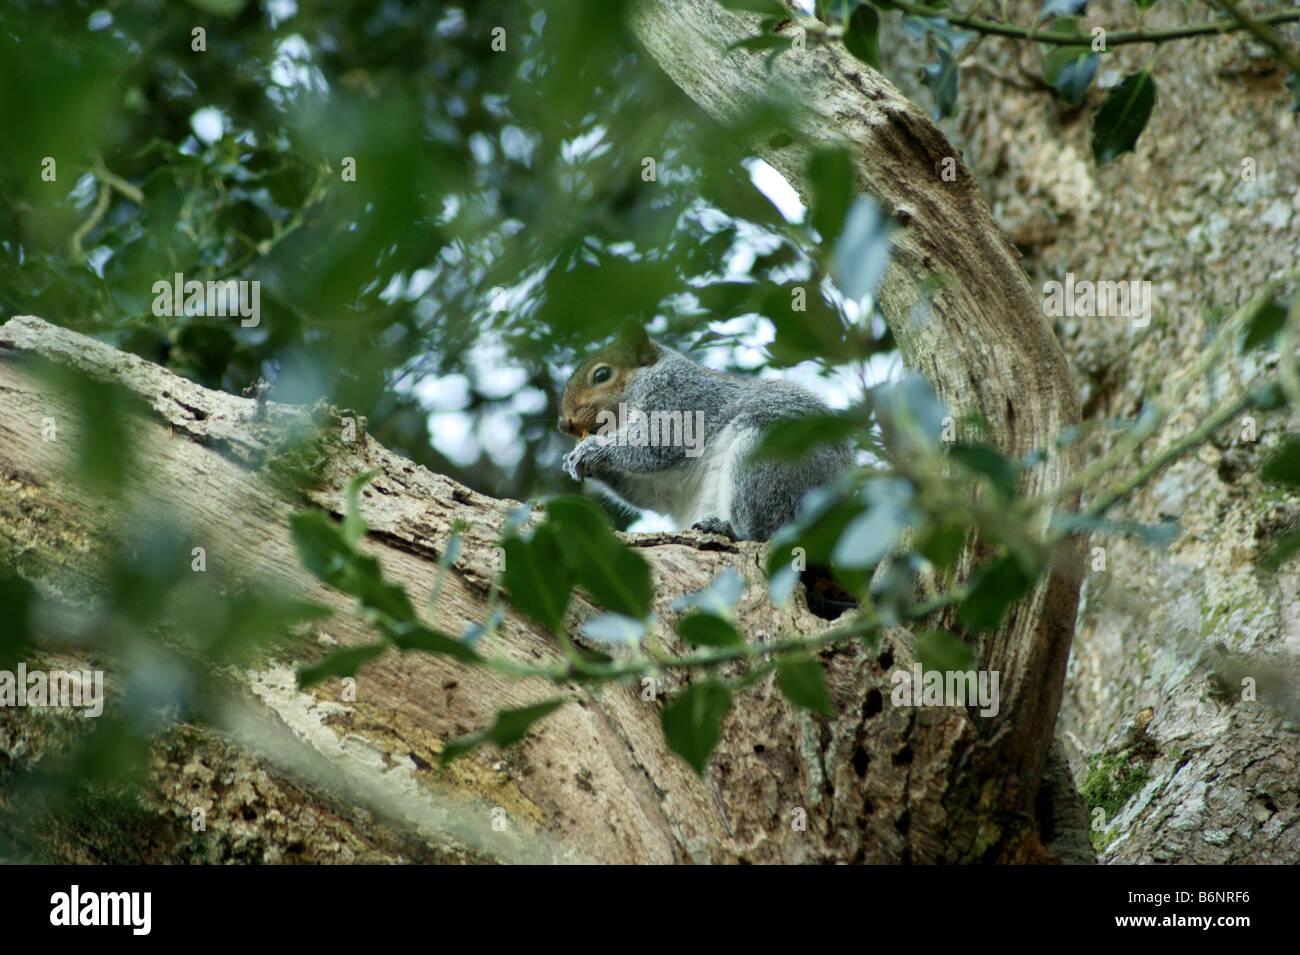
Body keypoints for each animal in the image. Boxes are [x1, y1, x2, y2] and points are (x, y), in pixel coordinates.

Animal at [558, 324, 852, 541]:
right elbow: (649, 490)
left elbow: (660, 441)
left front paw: (592, 449)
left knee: (770, 530)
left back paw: (728, 529)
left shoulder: (681, 397)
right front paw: (578, 463)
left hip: (770, 461)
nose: (565, 424)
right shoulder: (666, 487)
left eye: (602, 375)